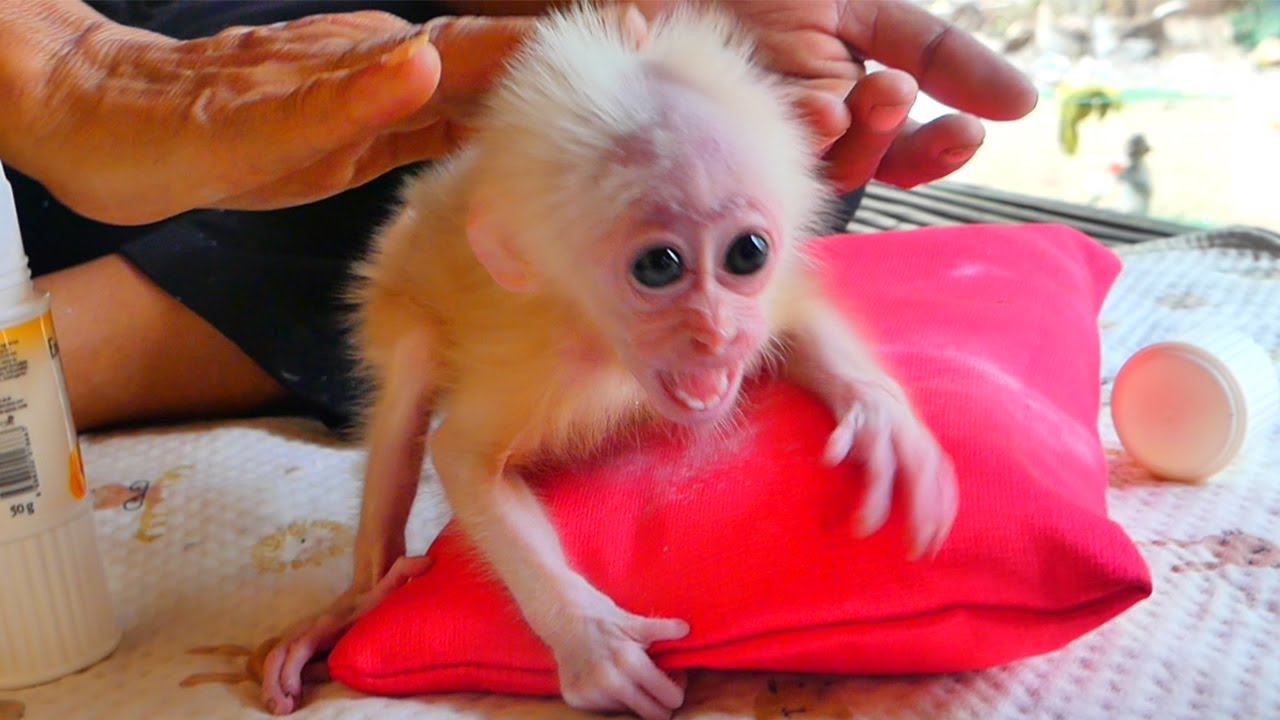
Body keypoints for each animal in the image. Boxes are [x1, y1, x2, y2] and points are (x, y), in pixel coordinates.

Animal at [260, 6, 958, 719]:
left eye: (748, 253)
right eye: (659, 265)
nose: (715, 330)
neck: (604, 345)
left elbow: (798, 314)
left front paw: (882, 425)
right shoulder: (545, 371)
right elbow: (460, 456)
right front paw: (590, 640)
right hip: (392, 285)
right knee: (412, 372)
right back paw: (356, 600)